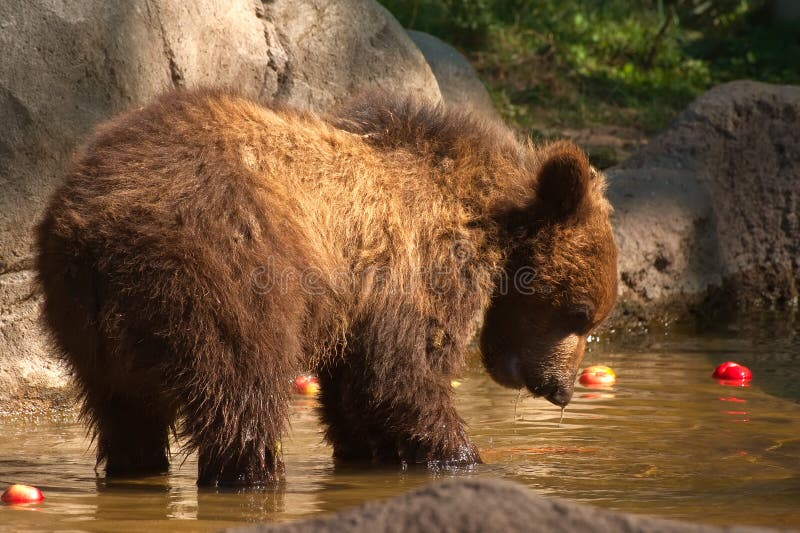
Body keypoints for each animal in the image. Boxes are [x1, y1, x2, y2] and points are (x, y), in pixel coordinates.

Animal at [35, 88, 617, 486]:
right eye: (579, 312)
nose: (562, 389)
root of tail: (97, 226)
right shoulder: (414, 267)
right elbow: (404, 374)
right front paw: (461, 454)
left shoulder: (357, 303)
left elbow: (355, 387)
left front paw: (370, 450)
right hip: (218, 276)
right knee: (241, 389)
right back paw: (254, 473)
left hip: (84, 320)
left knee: (124, 411)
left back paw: (136, 467)